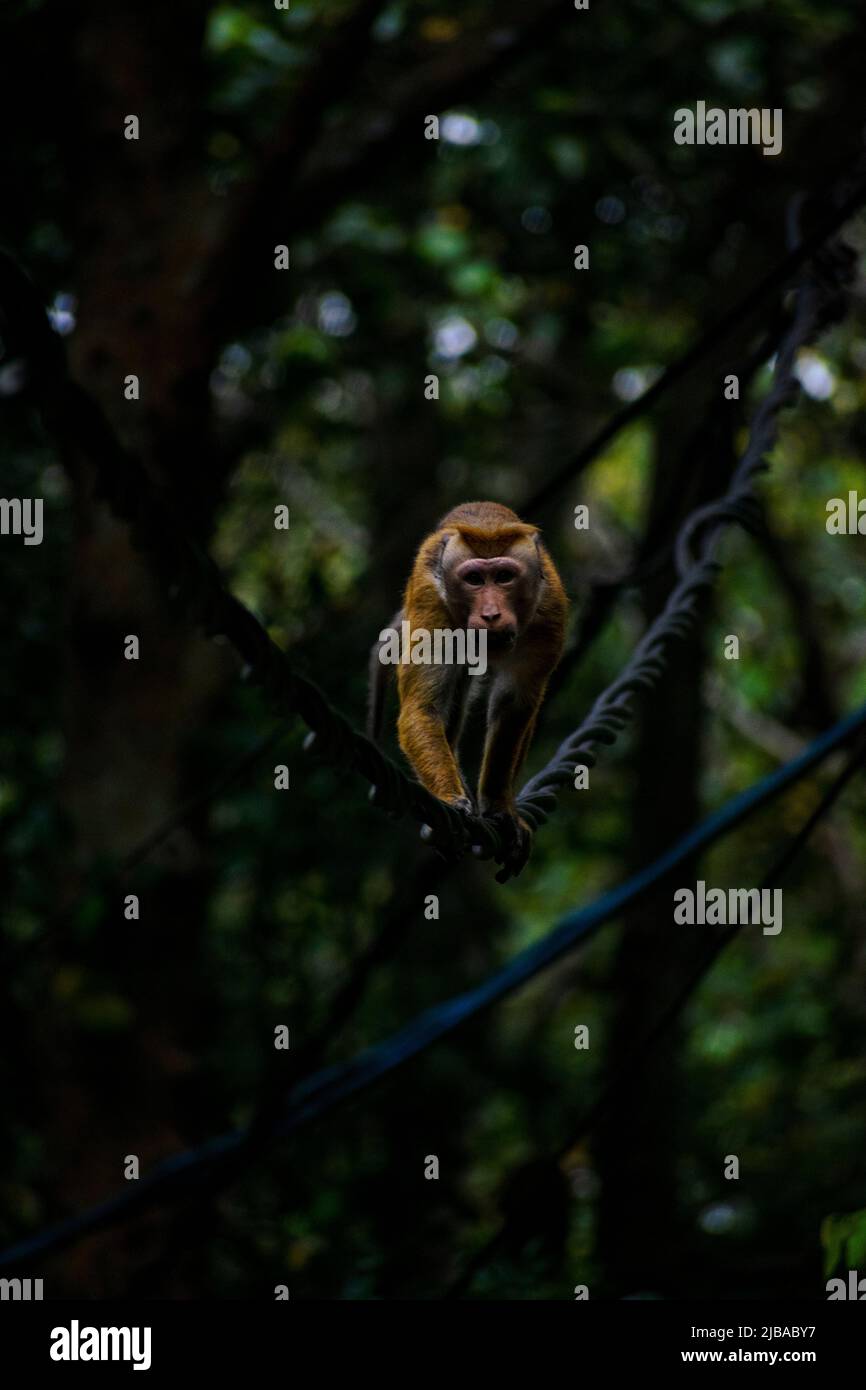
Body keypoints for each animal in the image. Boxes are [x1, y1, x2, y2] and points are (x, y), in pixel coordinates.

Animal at [369, 501, 568, 878]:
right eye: (474, 580)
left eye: (504, 577)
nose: (490, 614)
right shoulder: (430, 602)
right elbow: (424, 708)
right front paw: (451, 800)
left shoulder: (549, 612)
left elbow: (513, 707)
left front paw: (500, 807)